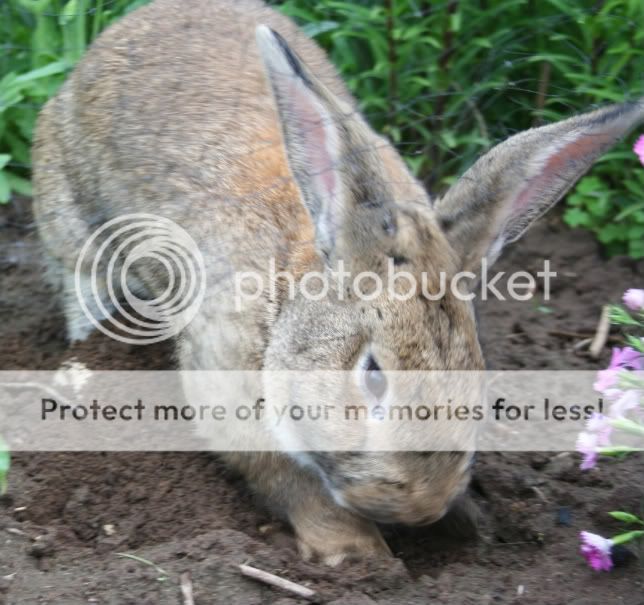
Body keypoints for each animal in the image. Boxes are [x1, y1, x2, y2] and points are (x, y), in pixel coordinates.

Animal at [32, 0, 644, 565]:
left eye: (476, 375)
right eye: (373, 375)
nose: (418, 505)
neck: (293, 294)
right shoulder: (227, 386)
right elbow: (292, 482)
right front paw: (357, 553)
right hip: (77, 239)